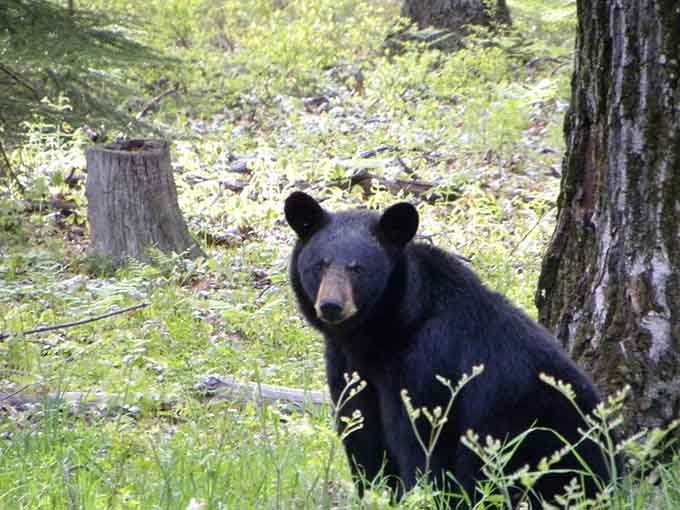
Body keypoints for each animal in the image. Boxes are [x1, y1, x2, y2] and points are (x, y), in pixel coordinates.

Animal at [284, 191, 617, 507]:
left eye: (358, 269)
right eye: (320, 265)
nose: (331, 305)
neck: (381, 334)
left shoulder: (427, 361)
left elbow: (420, 441)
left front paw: (417, 496)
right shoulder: (346, 363)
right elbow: (360, 433)